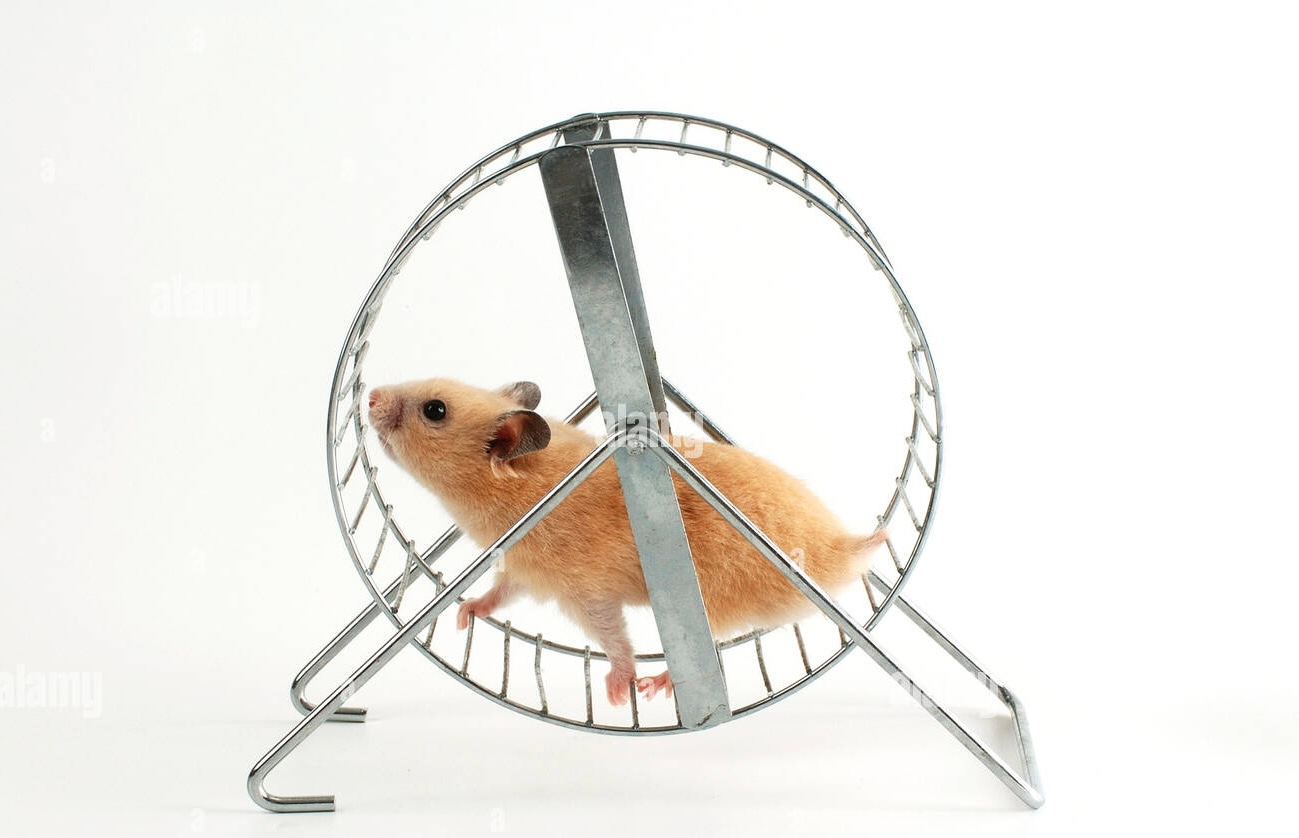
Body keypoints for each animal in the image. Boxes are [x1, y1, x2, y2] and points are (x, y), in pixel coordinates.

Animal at [368, 378, 885, 706]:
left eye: (435, 410)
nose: (370, 396)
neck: (523, 482)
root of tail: (839, 551)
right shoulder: (523, 570)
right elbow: (498, 593)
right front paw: (463, 615)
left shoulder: (586, 591)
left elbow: (613, 637)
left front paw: (619, 692)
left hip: (716, 596)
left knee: (714, 644)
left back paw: (657, 684)